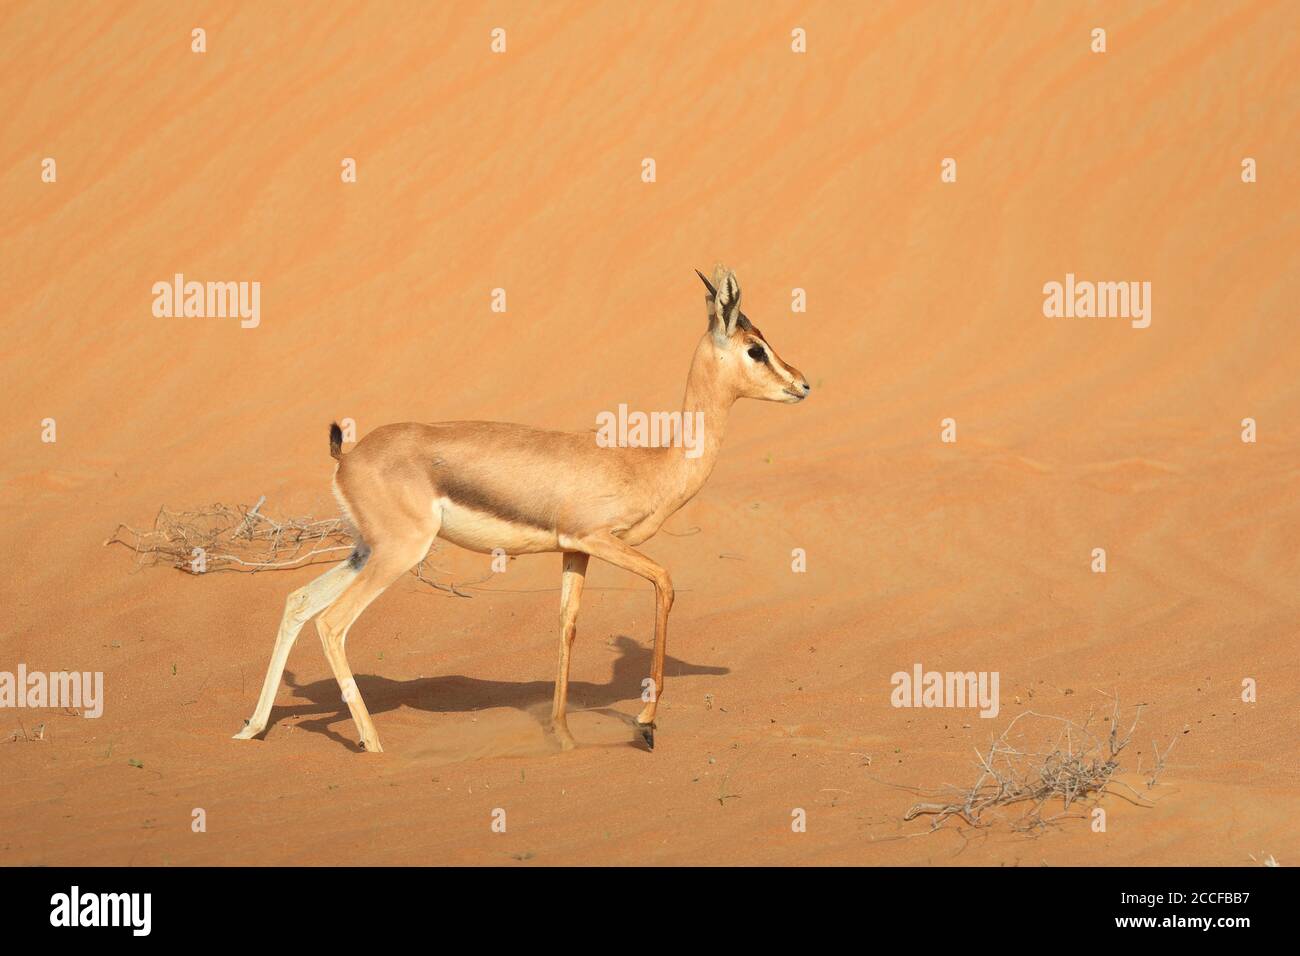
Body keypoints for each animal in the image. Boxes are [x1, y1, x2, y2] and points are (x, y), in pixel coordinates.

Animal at [233, 266, 810, 753]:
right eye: (756, 349)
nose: (802, 384)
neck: (648, 462)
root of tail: (347, 455)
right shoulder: (600, 539)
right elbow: (666, 585)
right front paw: (645, 724)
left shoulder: (574, 551)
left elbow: (567, 624)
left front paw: (564, 736)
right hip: (397, 554)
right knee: (333, 623)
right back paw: (374, 745)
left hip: (363, 551)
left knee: (298, 602)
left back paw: (252, 729)